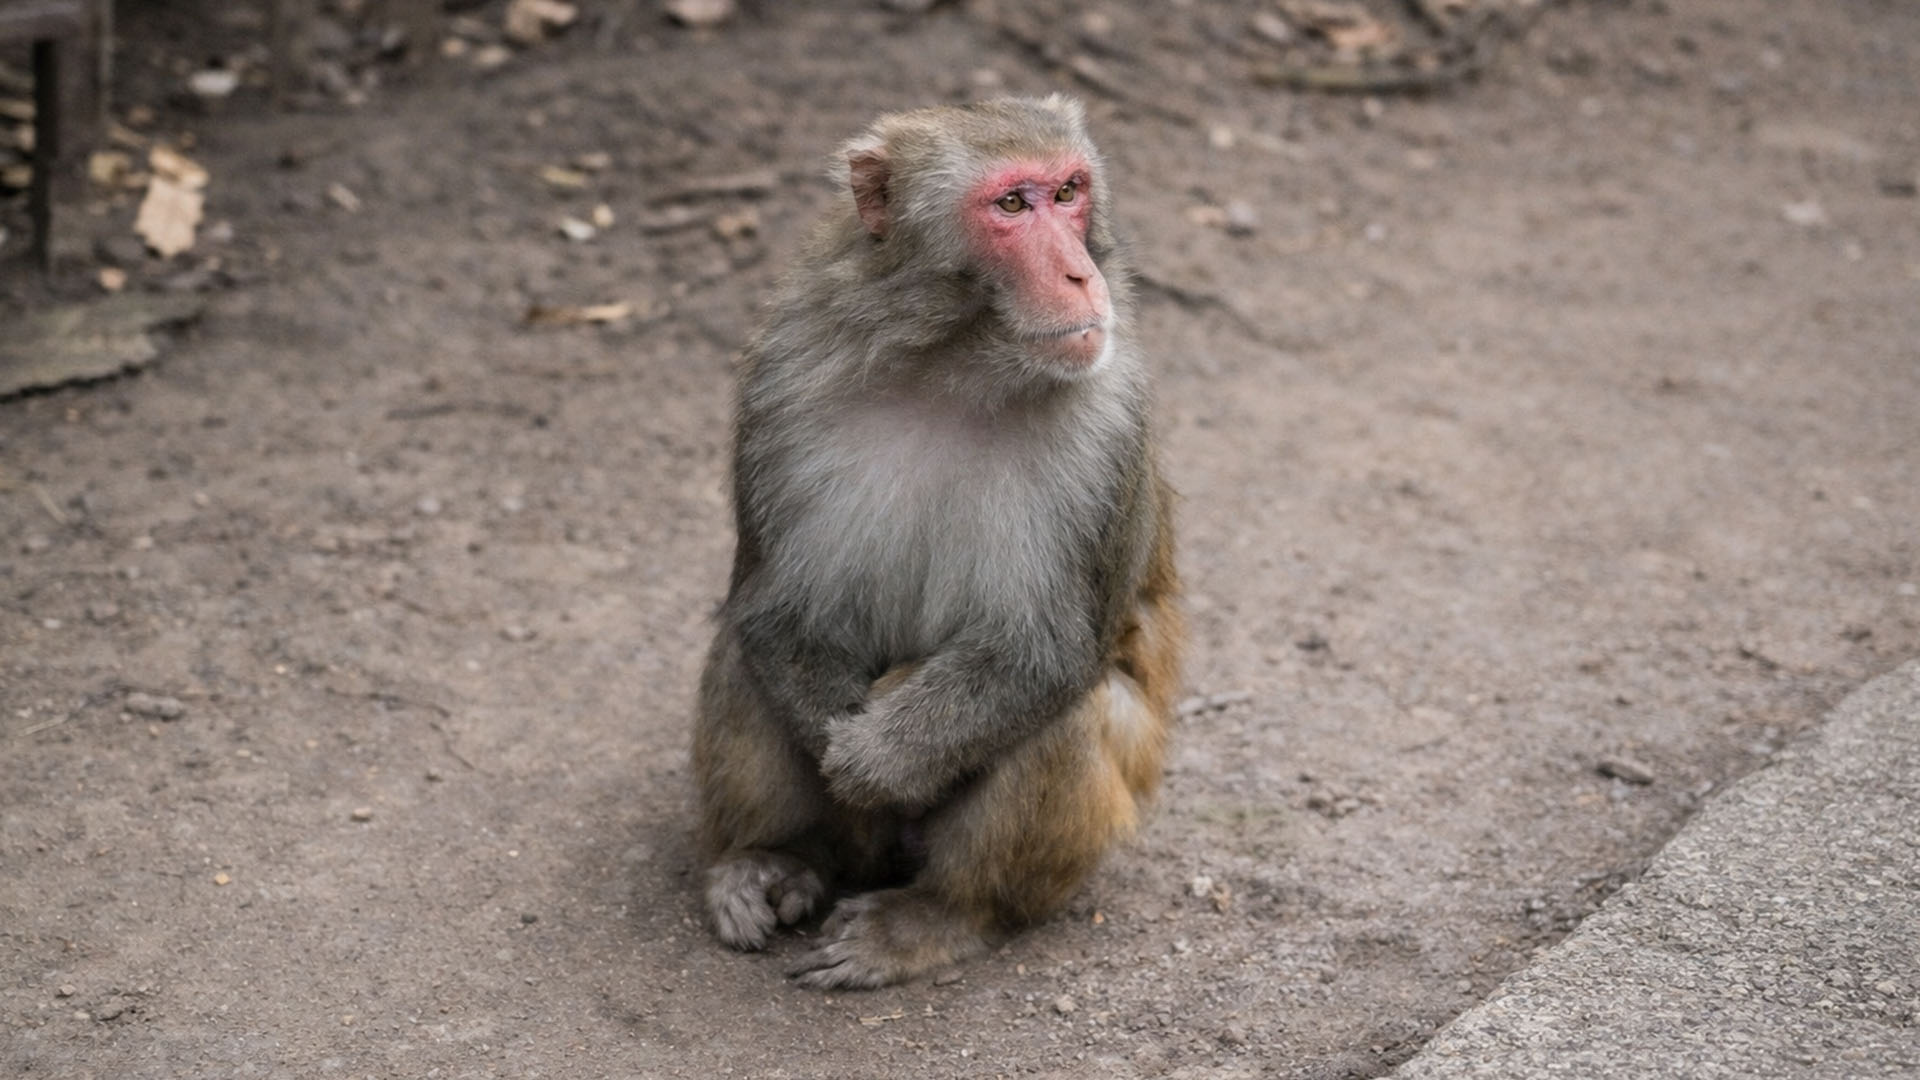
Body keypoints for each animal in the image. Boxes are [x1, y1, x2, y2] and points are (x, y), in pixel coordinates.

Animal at [691, 95, 1183, 990]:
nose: (1079, 276)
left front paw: (876, 762)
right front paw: (837, 757)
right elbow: (775, 611)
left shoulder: (1109, 421)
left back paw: (938, 917)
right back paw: (775, 860)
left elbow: (1043, 654)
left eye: (1070, 191)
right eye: (1012, 205)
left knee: (1068, 715)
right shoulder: (783, 372)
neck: (955, 367)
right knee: (741, 652)